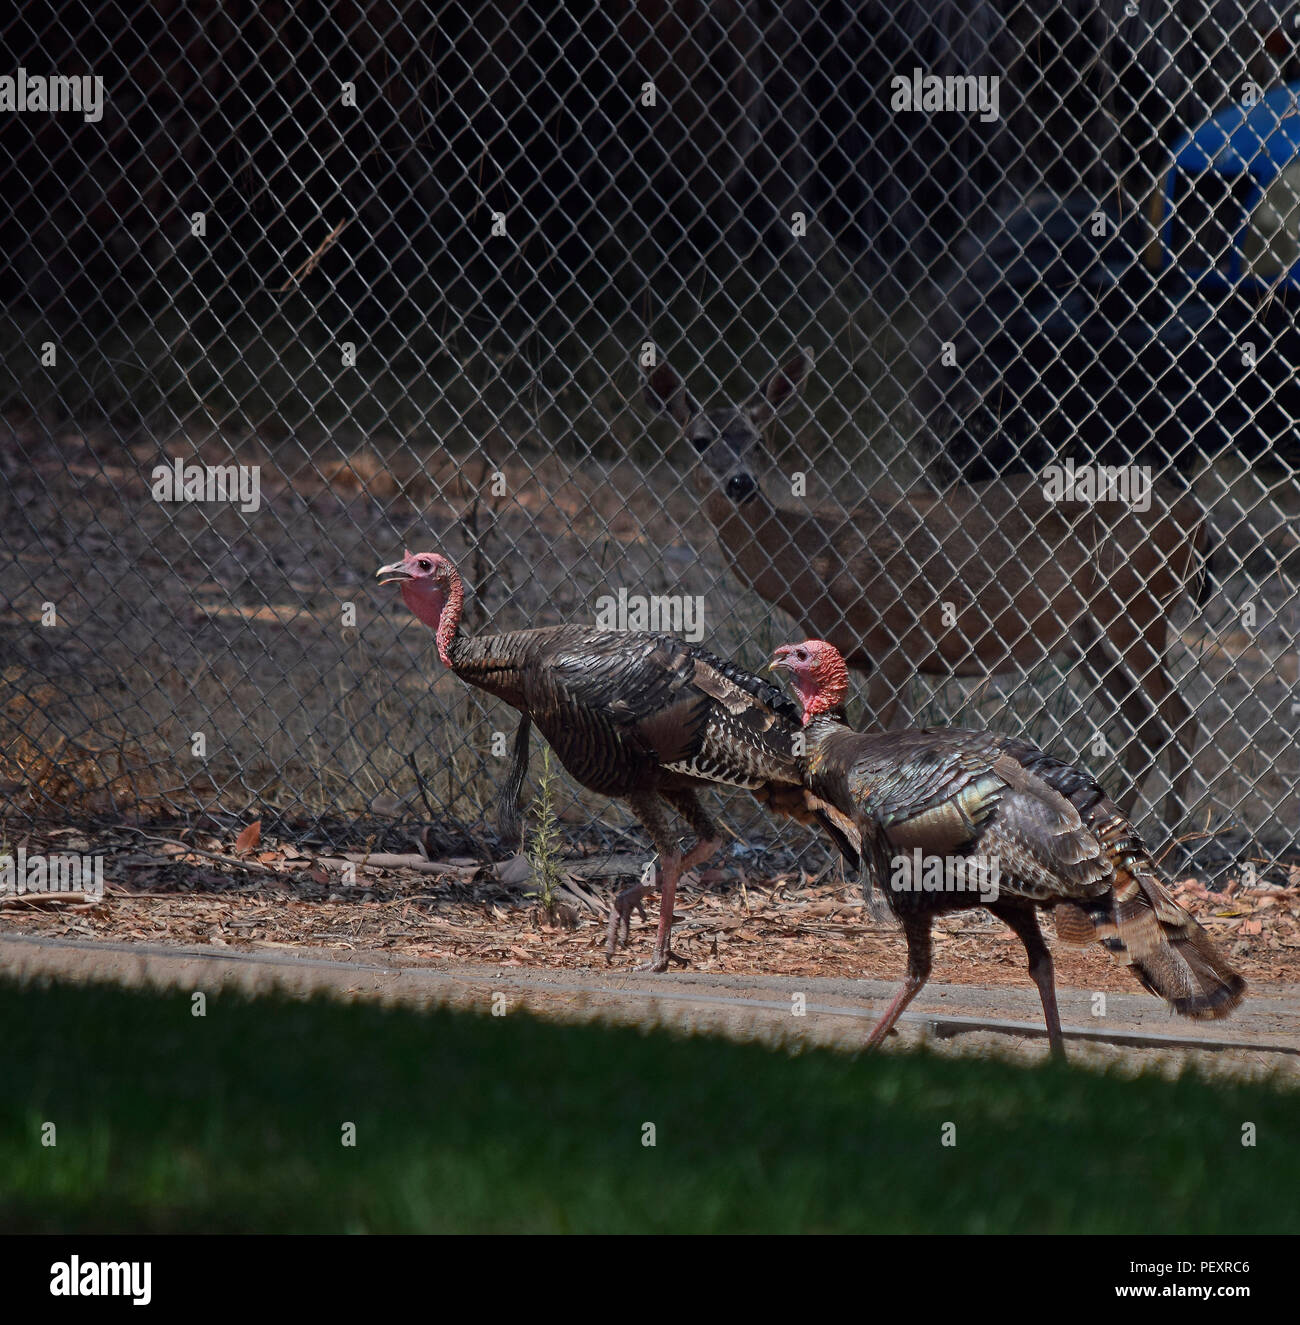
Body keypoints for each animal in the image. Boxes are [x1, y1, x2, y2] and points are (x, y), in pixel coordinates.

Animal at [644, 348, 1208, 826]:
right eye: (699, 440)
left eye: (758, 440)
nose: (741, 483)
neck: (820, 563)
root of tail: (1195, 515)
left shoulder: (899, 641)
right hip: (1089, 636)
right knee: (1147, 726)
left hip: (1136, 602)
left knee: (1180, 719)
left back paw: (1172, 842)